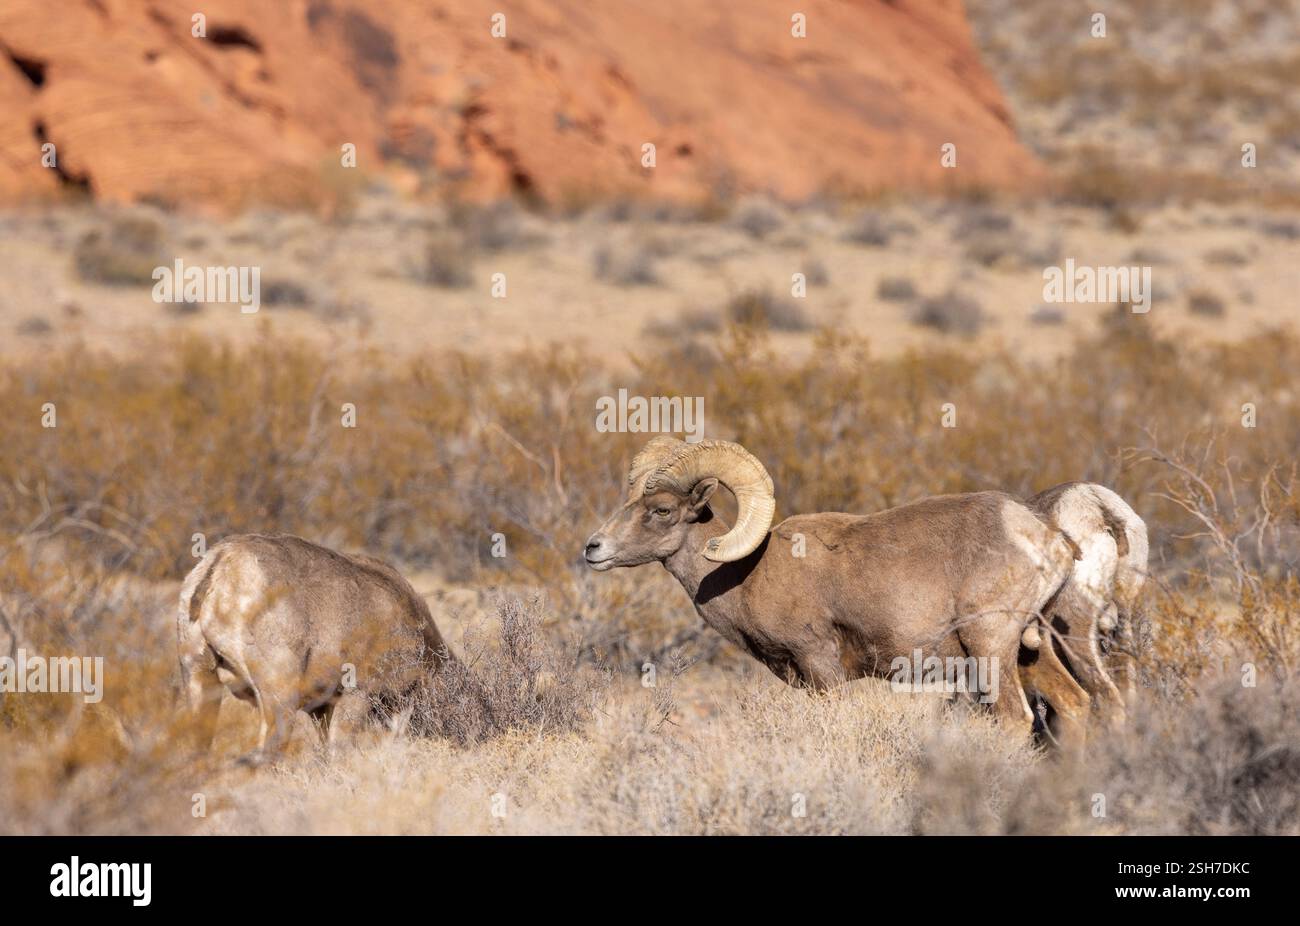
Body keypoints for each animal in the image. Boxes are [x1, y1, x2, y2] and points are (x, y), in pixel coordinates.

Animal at [584, 436, 1098, 744]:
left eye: (662, 510)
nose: (593, 548)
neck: (746, 574)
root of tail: (1047, 535)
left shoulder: (820, 667)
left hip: (991, 647)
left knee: (1015, 721)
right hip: (1034, 650)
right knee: (1076, 705)